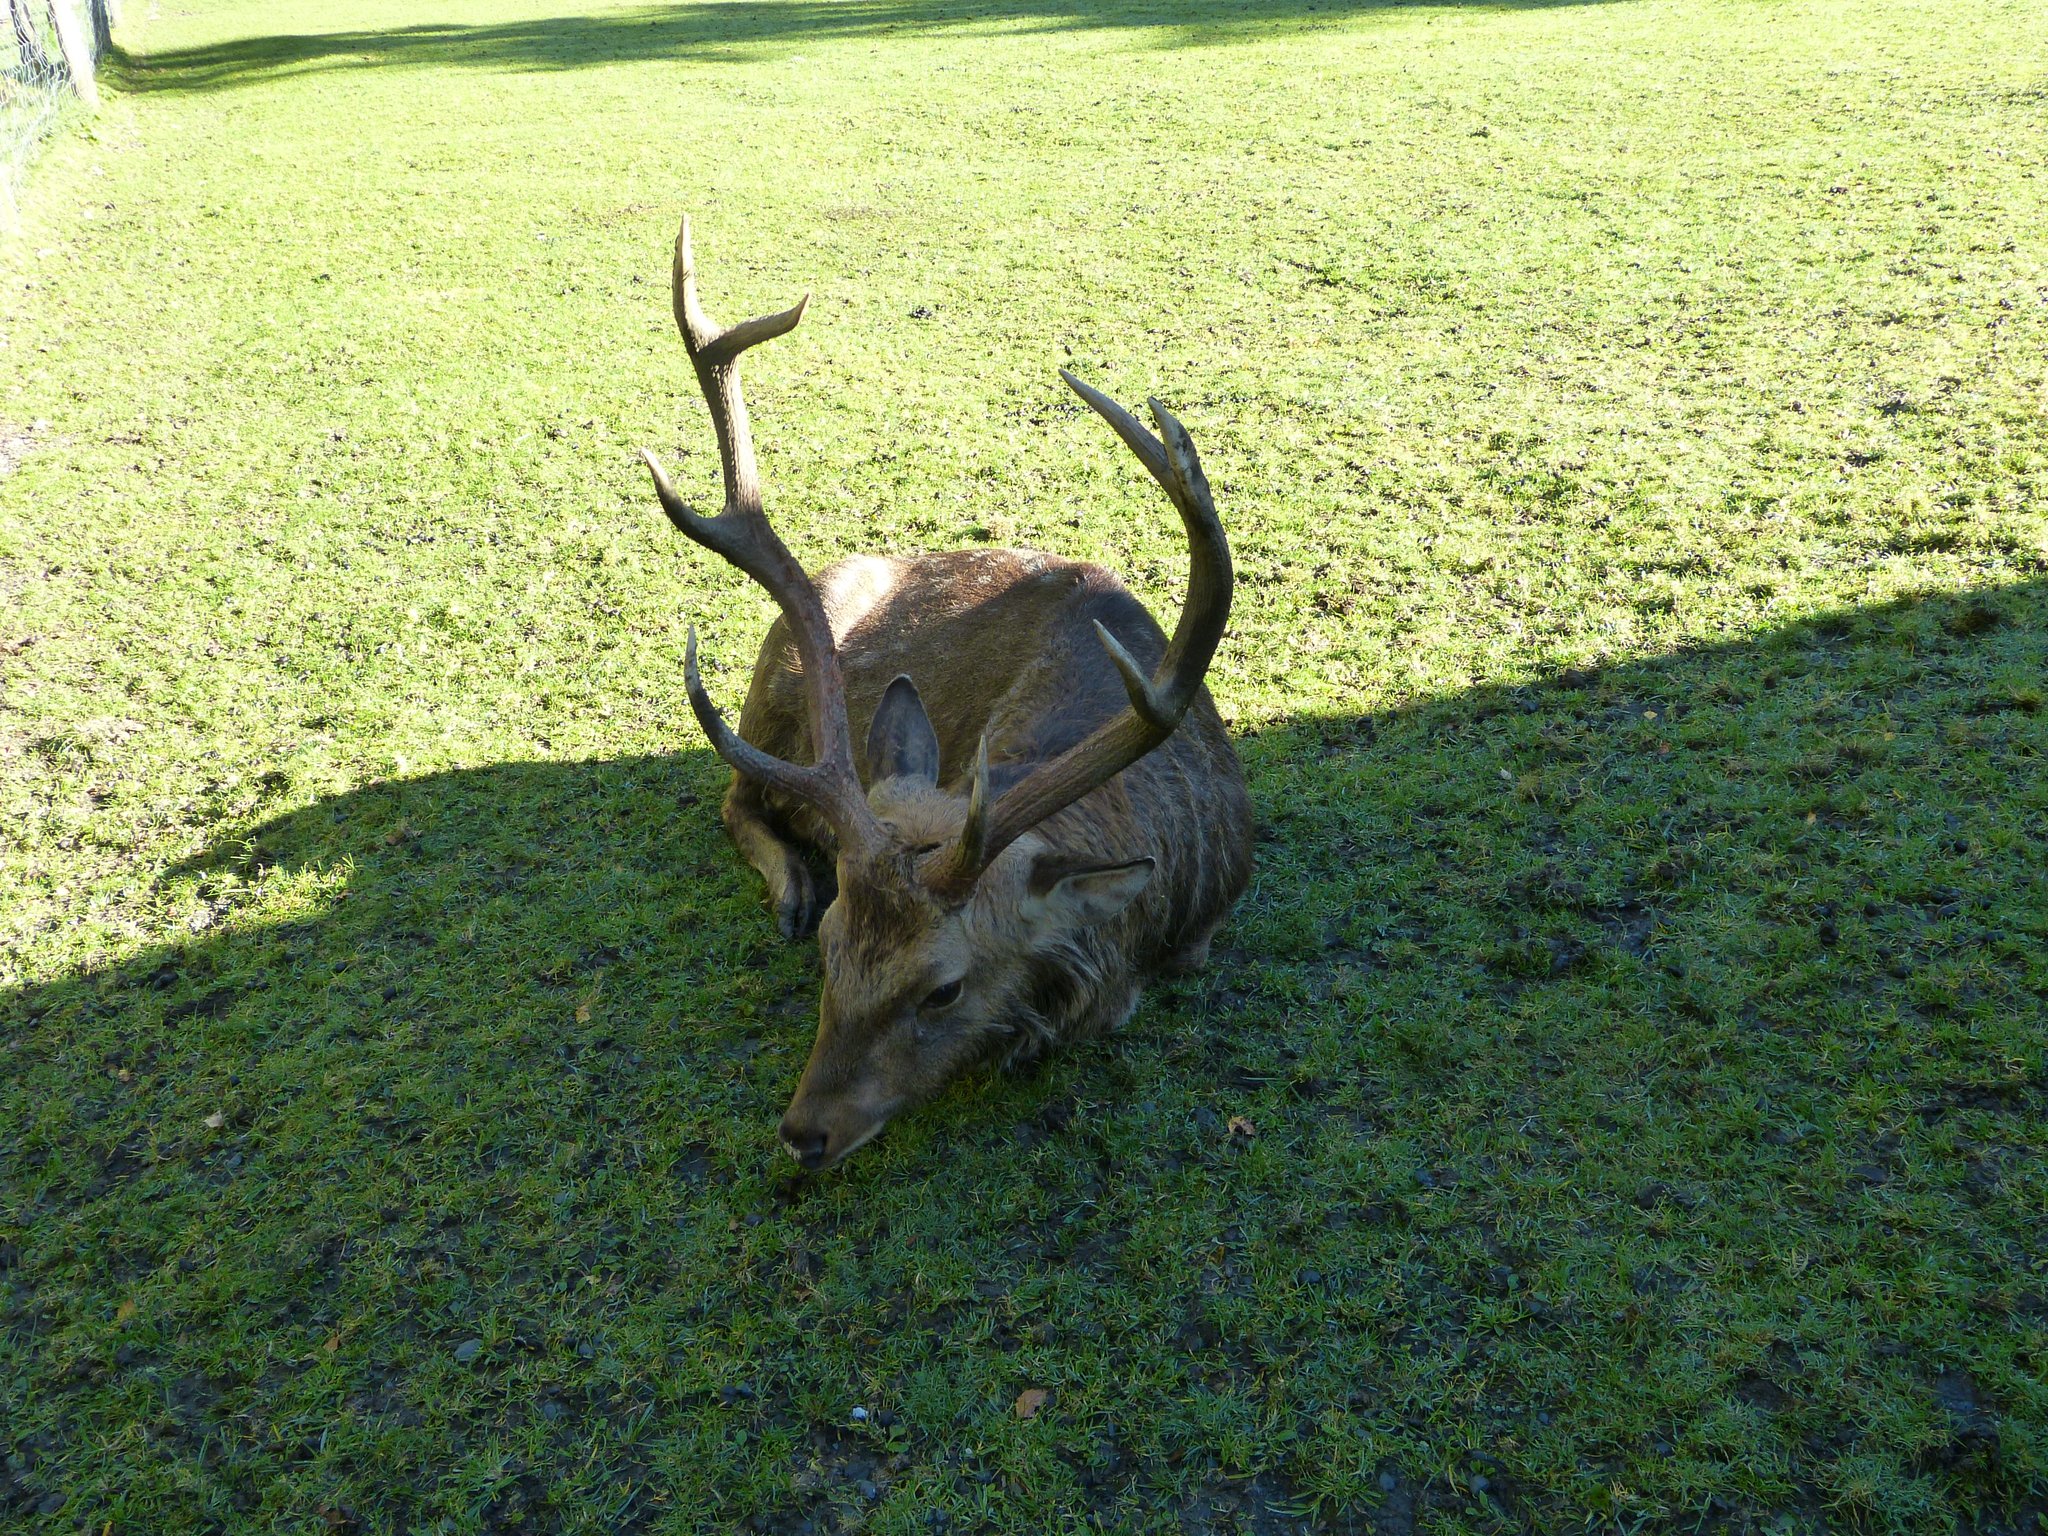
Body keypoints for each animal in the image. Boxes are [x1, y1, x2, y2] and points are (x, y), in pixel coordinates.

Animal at [638, 218, 1252, 1170]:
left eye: (943, 990)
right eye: (832, 950)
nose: (804, 1133)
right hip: (776, 676)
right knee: (737, 794)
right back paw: (787, 884)